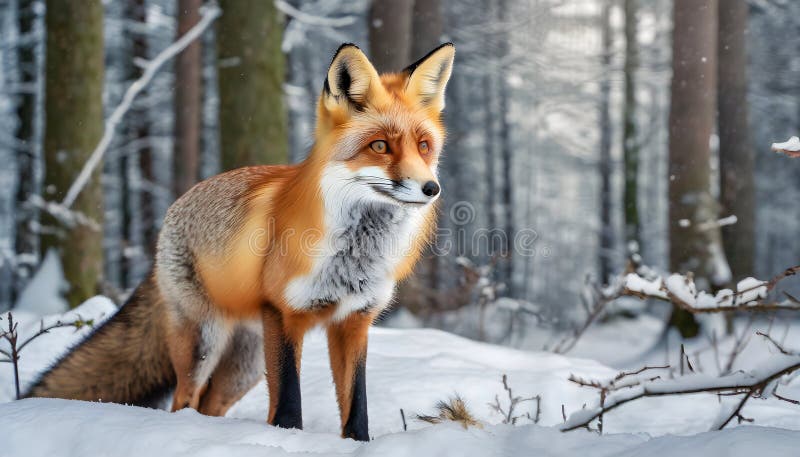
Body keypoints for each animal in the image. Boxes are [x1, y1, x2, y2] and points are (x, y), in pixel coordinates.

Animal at [25, 42, 455, 441]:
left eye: (424, 147)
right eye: (380, 146)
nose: (431, 188)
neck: (355, 254)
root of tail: (173, 209)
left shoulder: (354, 320)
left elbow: (356, 406)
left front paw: (359, 444)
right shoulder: (283, 314)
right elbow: (289, 403)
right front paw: (287, 439)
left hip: (245, 363)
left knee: (209, 405)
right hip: (206, 341)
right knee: (183, 400)